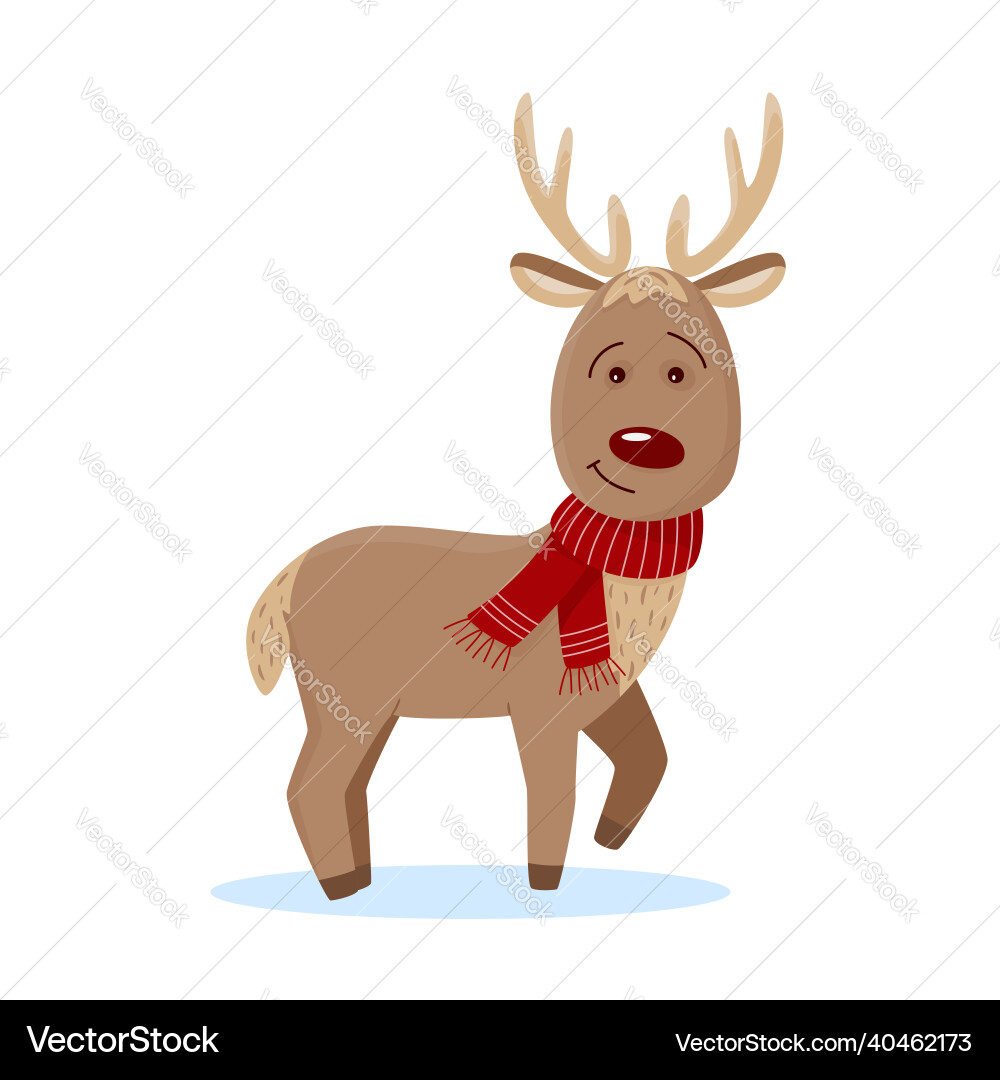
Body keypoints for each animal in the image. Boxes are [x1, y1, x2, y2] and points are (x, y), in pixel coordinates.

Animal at [246, 92, 786, 900]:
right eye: (613, 369)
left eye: (684, 368)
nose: (642, 443)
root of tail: (283, 583)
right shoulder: (539, 704)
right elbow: (551, 797)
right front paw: (544, 888)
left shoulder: (606, 693)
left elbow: (652, 756)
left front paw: (611, 838)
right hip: (349, 696)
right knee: (309, 784)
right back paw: (346, 890)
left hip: (361, 704)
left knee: (339, 784)